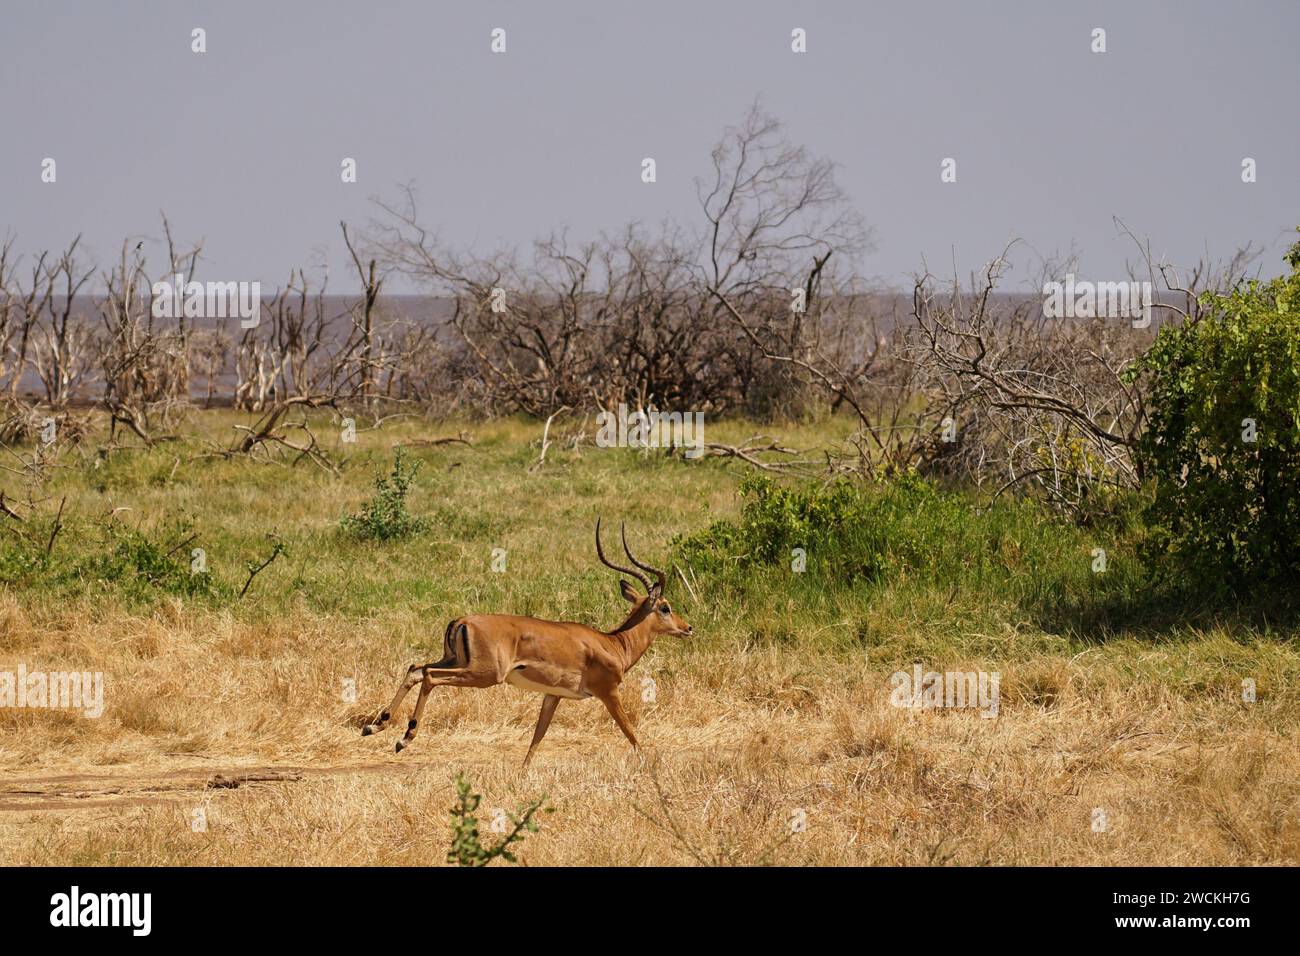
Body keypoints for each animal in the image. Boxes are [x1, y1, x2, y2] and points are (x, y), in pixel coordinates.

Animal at [361, 519, 693, 763]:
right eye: (665, 607)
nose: (688, 627)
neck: (613, 644)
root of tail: (462, 621)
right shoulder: (609, 692)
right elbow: (630, 732)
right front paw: (648, 765)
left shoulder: (552, 696)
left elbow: (537, 737)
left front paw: (522, 774)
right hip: (483, 675)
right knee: (429, 675)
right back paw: (404, 739)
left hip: (455, 661)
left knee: (415, 668)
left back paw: (375, 725)